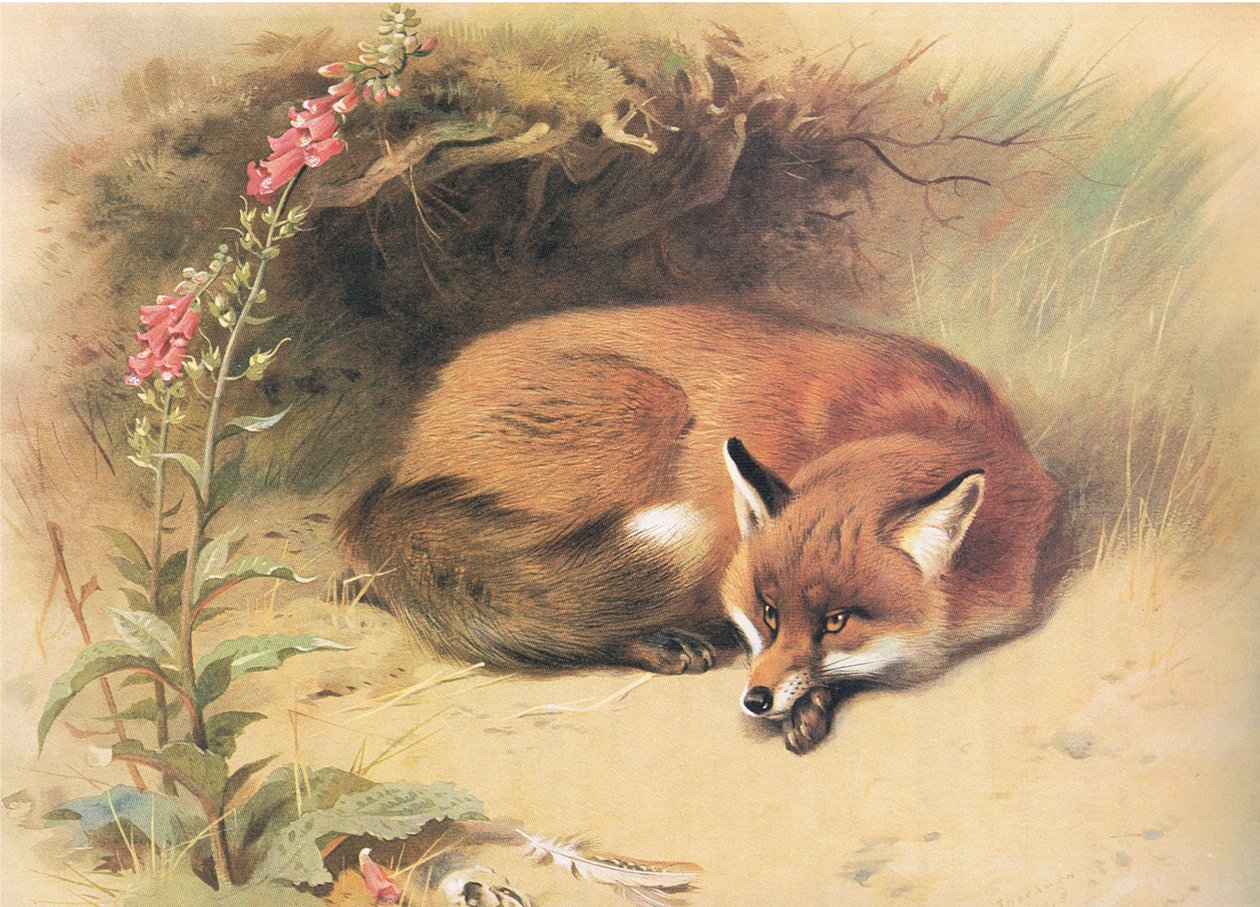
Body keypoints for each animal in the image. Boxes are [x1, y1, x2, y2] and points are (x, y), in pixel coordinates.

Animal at [339, 304, 1062, 753]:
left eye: (836, 621)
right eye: (767, 611)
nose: (756, 699)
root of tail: (405, 455)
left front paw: (814, 703)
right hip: (644, 409)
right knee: (554, 608)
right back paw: (655, 642)